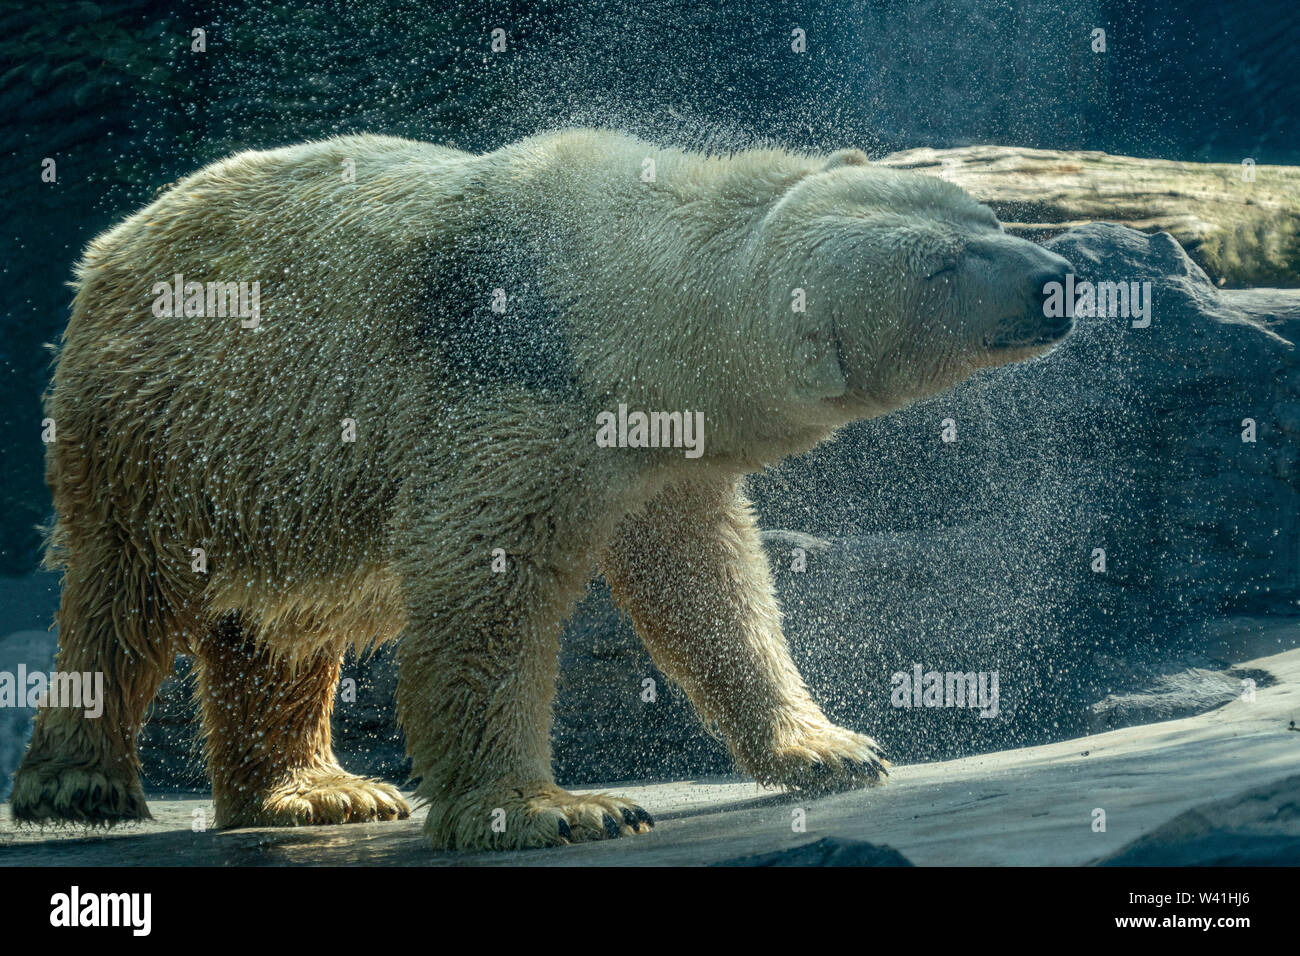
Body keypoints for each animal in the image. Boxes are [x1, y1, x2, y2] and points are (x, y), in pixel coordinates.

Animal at [12, 129, 1072, 849]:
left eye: (985, 219)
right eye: (944, 265)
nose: (1058, 277)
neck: (595, 286)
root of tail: (108, 247)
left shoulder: (656, 447)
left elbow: (709, 587)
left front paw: (829, 748)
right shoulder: (515, 396)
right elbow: (487, 590)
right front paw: (556, 809)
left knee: (283, 622)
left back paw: (315, 791)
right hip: (165, 424)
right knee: (126, 595)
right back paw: (82, 785)